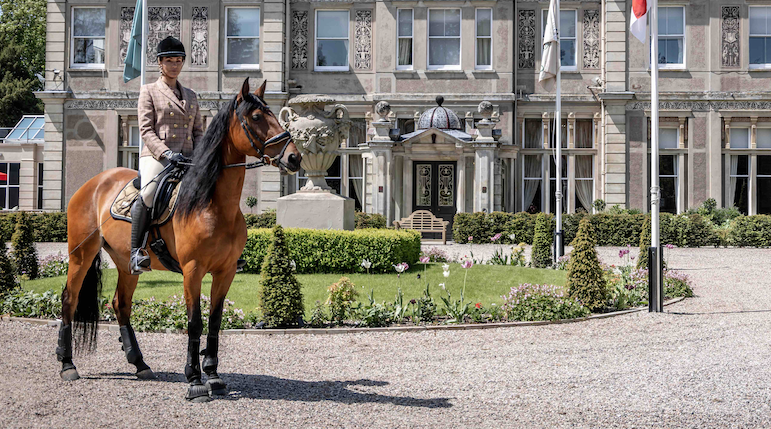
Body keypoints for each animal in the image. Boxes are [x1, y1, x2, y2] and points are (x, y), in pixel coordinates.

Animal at [57, 78, 301, 402]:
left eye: (274, 113)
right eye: (258, 117)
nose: (294, 157)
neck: (213, 204)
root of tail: (94, 183)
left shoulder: (225, 271)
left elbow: (214, 321)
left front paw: (213, 376)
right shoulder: (192, 270)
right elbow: (194, 322)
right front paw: (195, 380)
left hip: (126, 263)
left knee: (121, 304)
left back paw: (140, 364)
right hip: (81, 255)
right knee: (69, 300)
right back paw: (67, 364)